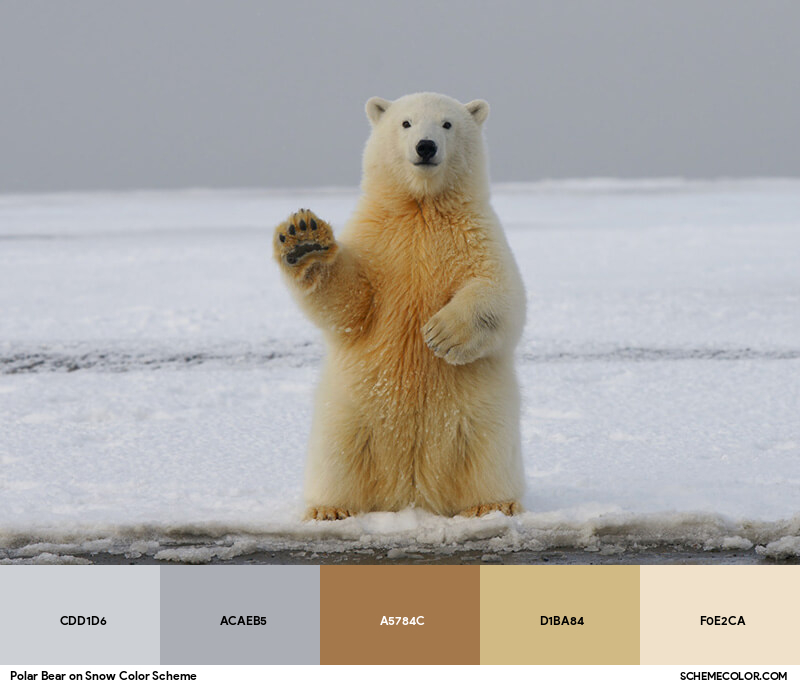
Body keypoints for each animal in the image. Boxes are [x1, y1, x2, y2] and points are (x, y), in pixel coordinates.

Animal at [273, 92, 526, 520]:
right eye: (405, 123)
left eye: (447, 124)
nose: (426, 147)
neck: (421, 207)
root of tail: (411, 493)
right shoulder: (378, 240)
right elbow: (351, 303)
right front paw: (304, 239)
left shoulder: (476, 235)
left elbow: (501, 294)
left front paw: (441, 334)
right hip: (350, 413)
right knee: (338, 456)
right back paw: (329, 509)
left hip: (482, 415)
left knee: (487, 454)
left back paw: (493, 505)